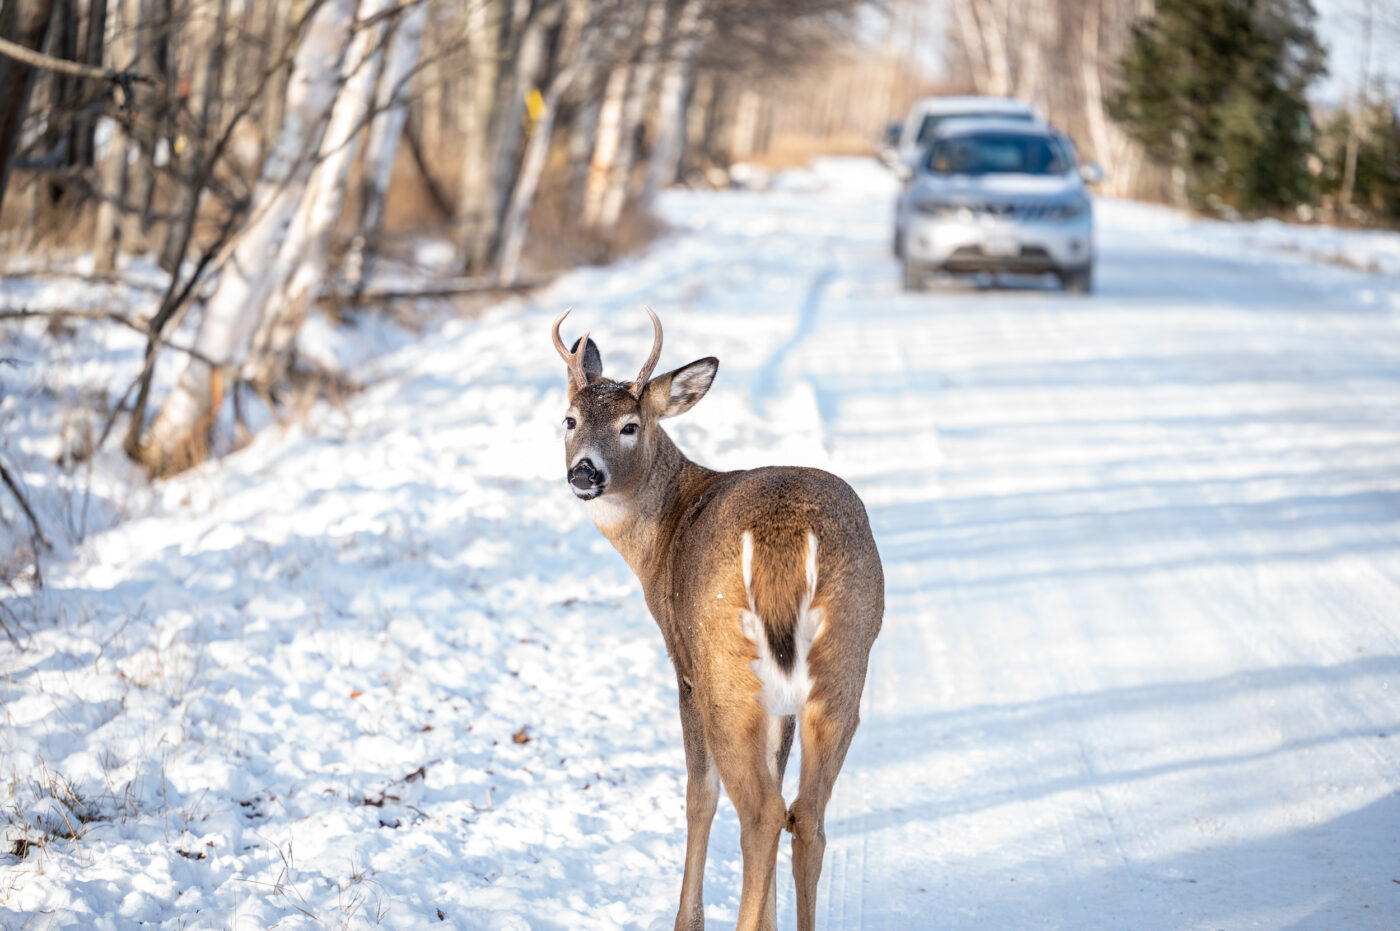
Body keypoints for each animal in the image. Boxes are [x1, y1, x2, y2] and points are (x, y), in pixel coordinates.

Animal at [551, 306, 884, 931]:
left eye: (631, 425)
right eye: (570, 419)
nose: (584, 473)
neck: (663, 534)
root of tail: (784, 539)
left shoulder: (682, 665)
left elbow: (697, 796)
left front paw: (688, 918)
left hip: (724, 667)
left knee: (760, 812)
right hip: (845, 662)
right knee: (805, 816)